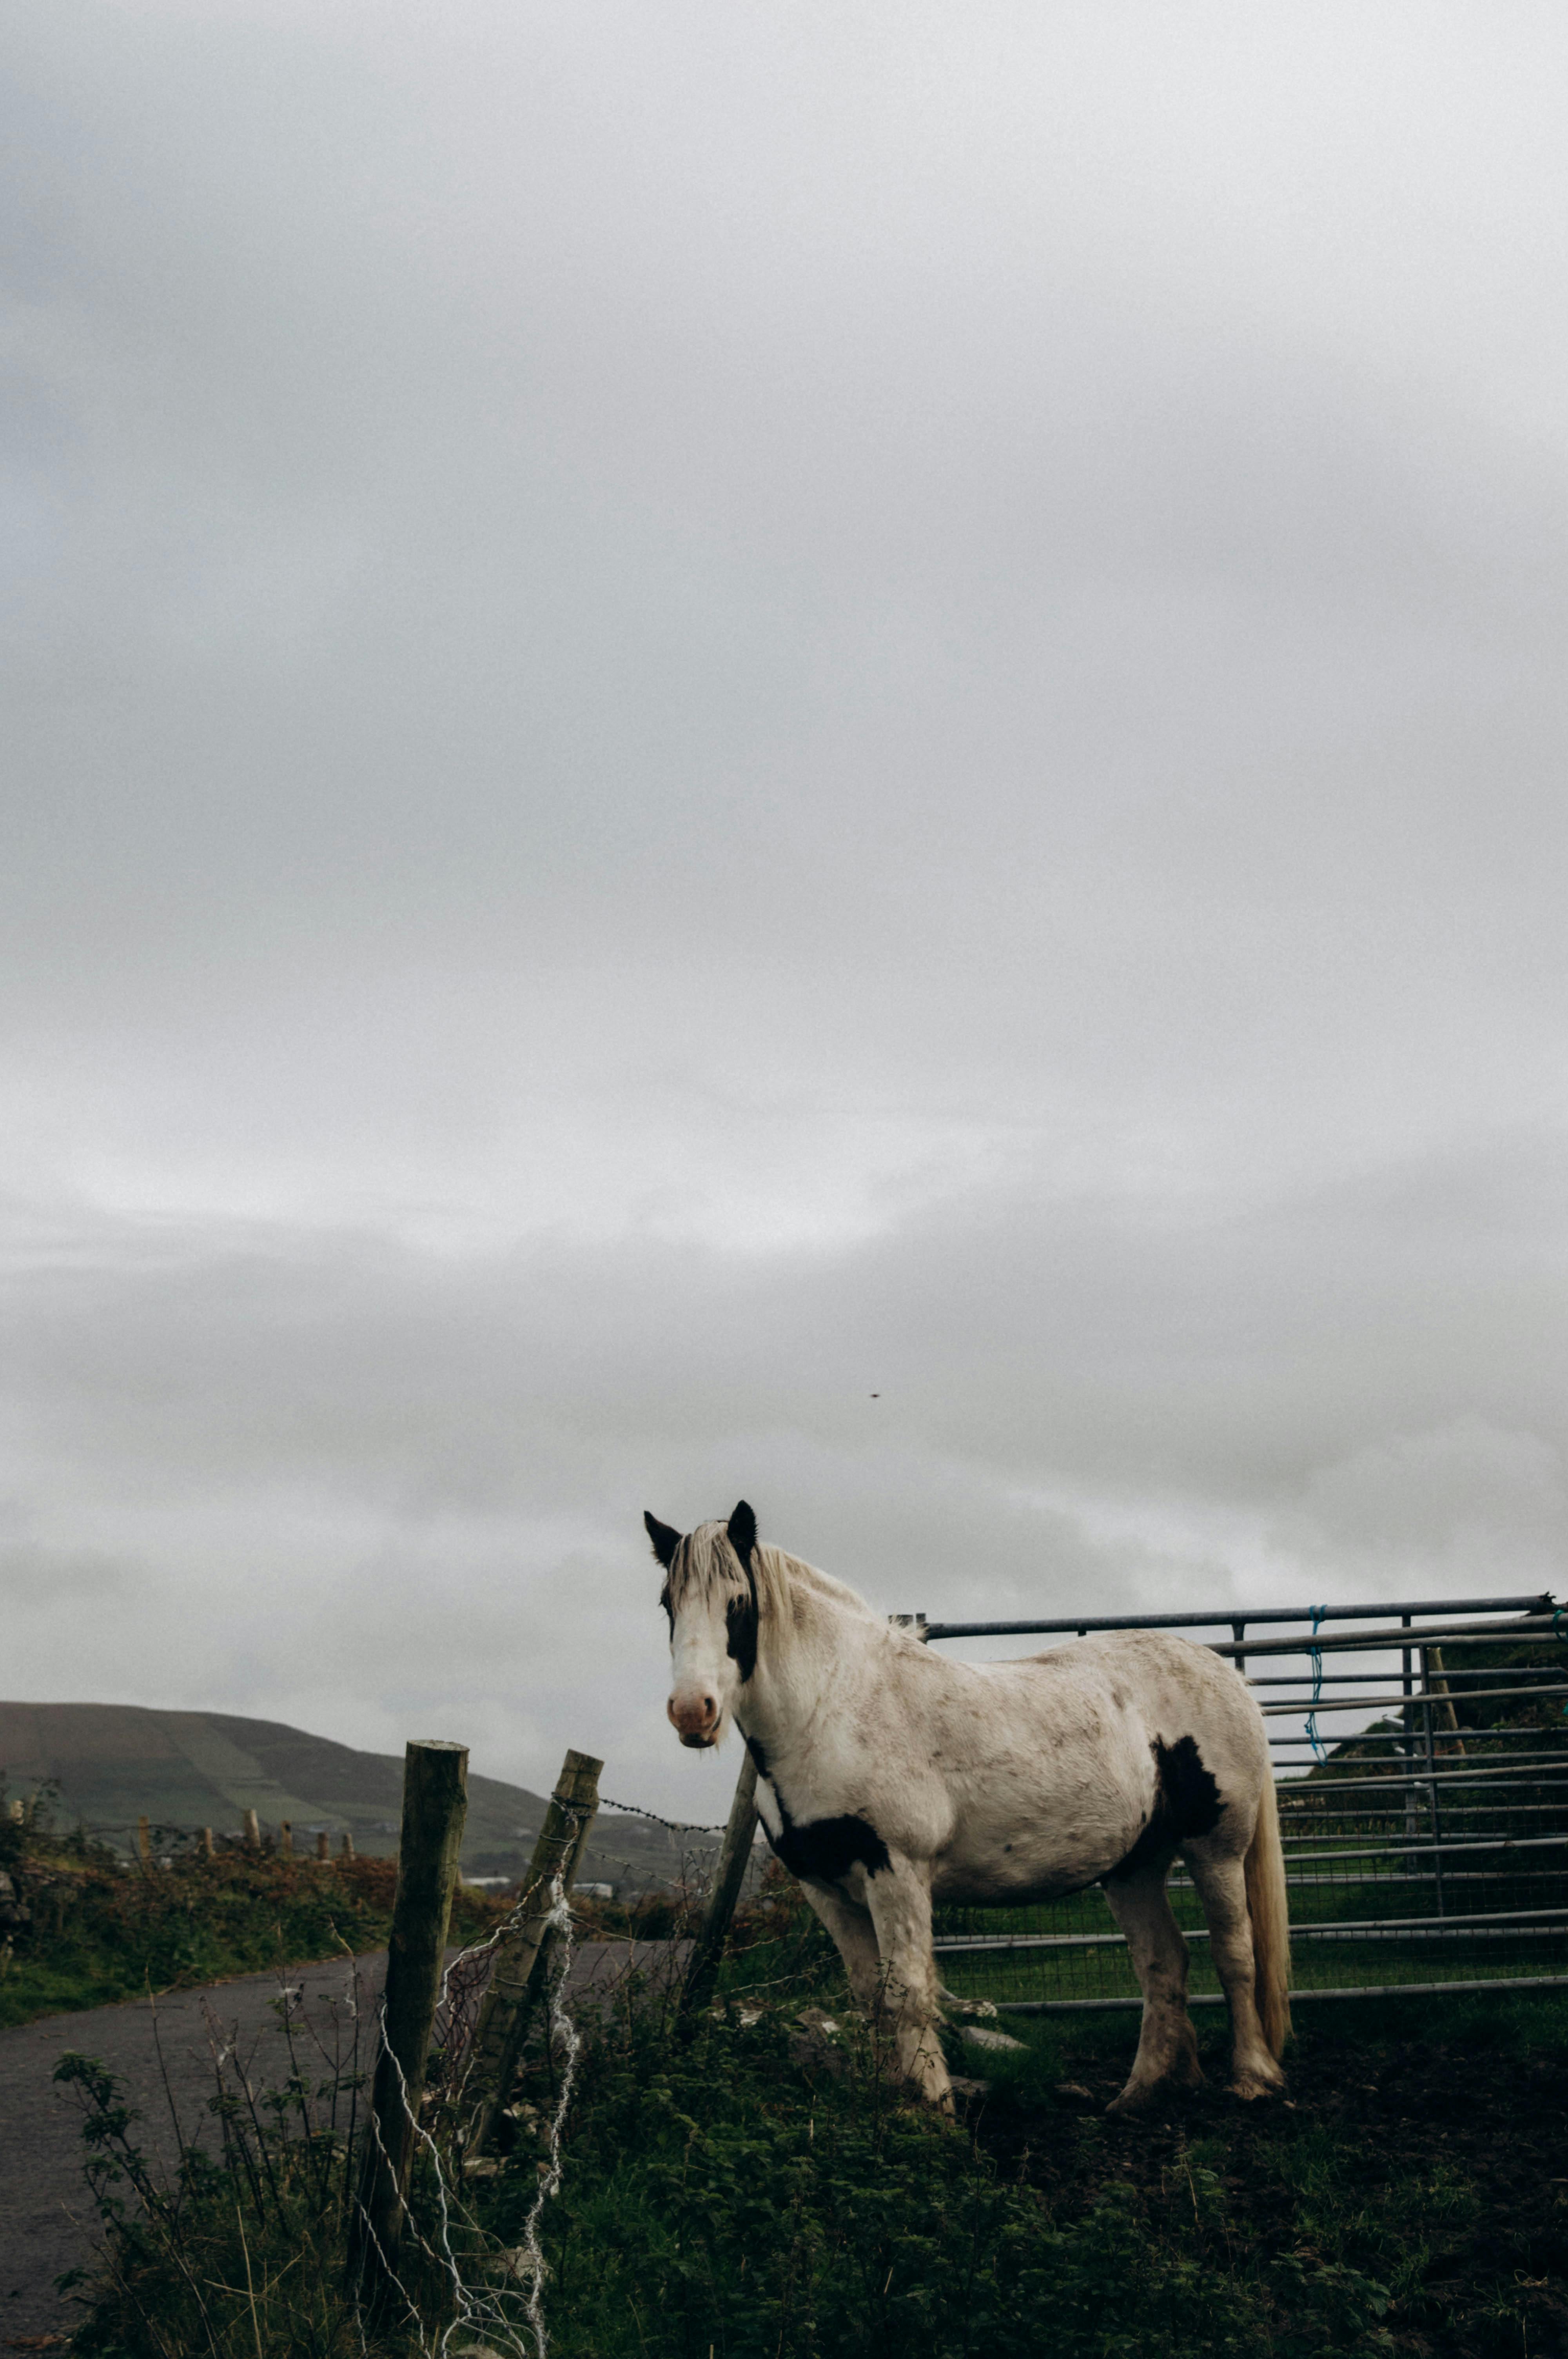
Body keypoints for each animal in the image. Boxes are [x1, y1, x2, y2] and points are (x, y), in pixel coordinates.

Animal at [645, 1501, 1290, 2115]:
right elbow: (871, 1997)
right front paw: (891, 2100)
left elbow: (908, 1992)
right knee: (1164, 1961)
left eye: (738, 1601)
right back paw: (1145, 2091)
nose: (692, 1712)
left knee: (1235, 1954)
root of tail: (1225, 1676)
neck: (834, 1707)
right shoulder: (824, 1888)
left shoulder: (895, 1872)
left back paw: (1252, 2078)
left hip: (1217, 1851)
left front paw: (933, 2104)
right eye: (668, 1602)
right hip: (1134, 1866)